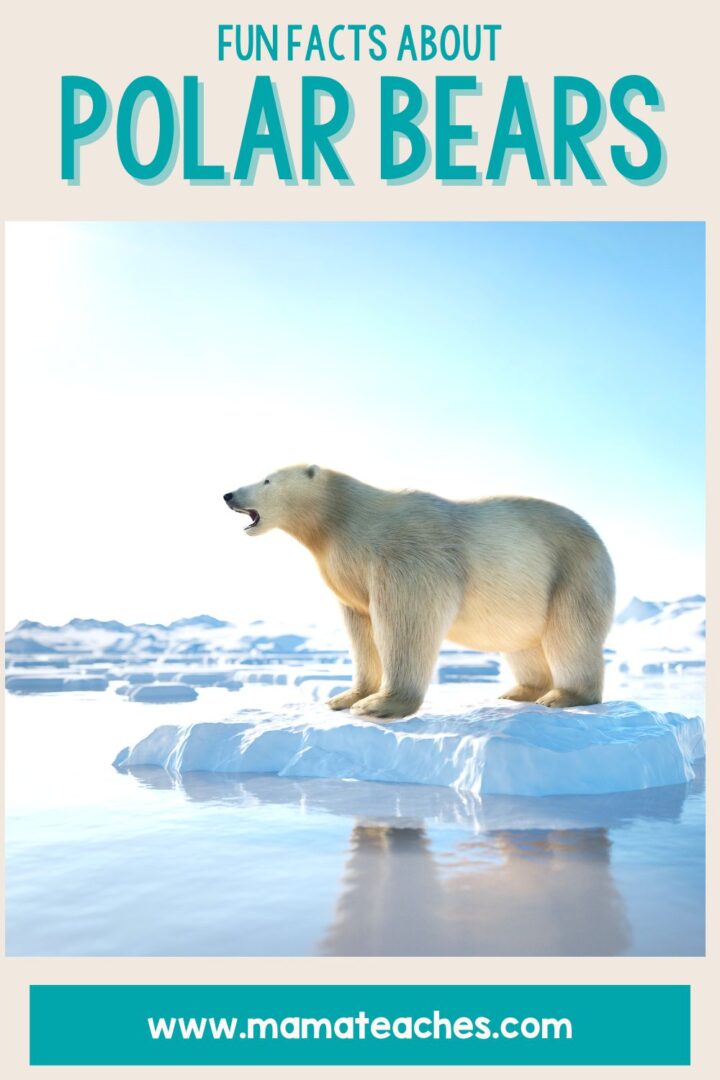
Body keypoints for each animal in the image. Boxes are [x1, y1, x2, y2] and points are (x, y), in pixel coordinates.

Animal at [223, 465, 616, 720]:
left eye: (266, 479)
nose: (228, 494)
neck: (344, 520)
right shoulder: (350, 575)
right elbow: (361, 630)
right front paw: (345, 697)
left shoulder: (406, 555)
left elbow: (405, 621)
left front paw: (378, 705)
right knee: (523, 643)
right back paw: (520, 690)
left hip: (572, 572)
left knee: (570, 634)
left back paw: (563, 696)